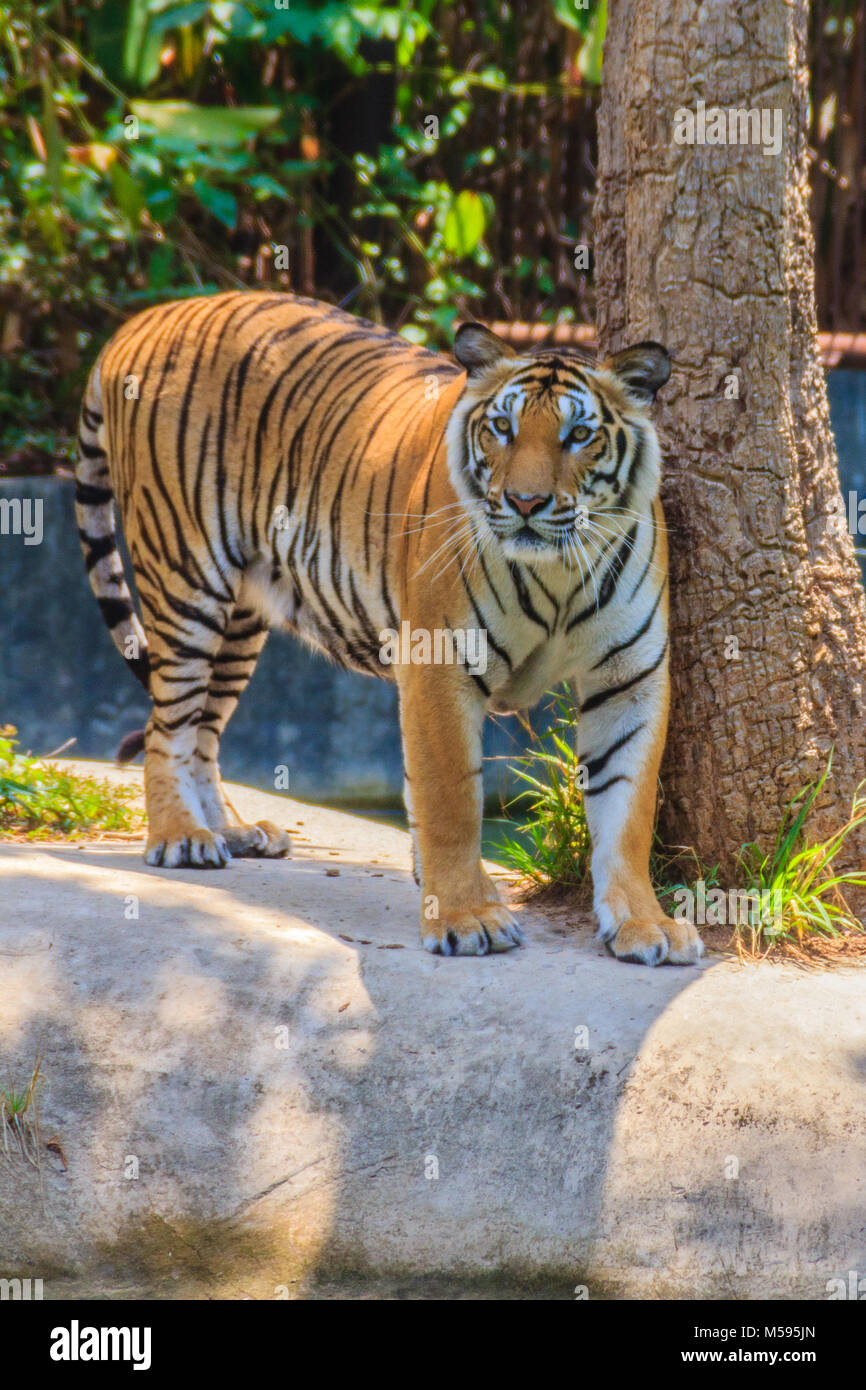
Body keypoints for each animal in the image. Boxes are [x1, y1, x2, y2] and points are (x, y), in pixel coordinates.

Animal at [75, 290, 703, 966]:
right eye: (502, 429)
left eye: (579, 435)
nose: (526, 503)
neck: (557, 571)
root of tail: (145, 319)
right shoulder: (438, 661)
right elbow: (450, 798)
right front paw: (466, 917)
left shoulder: (629, 677)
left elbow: (628, 809)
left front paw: (646, 924)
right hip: (187, 577)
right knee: (165, 725)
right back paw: (182, 838)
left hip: (241, 618)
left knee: (203, 729)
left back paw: (233, 831)